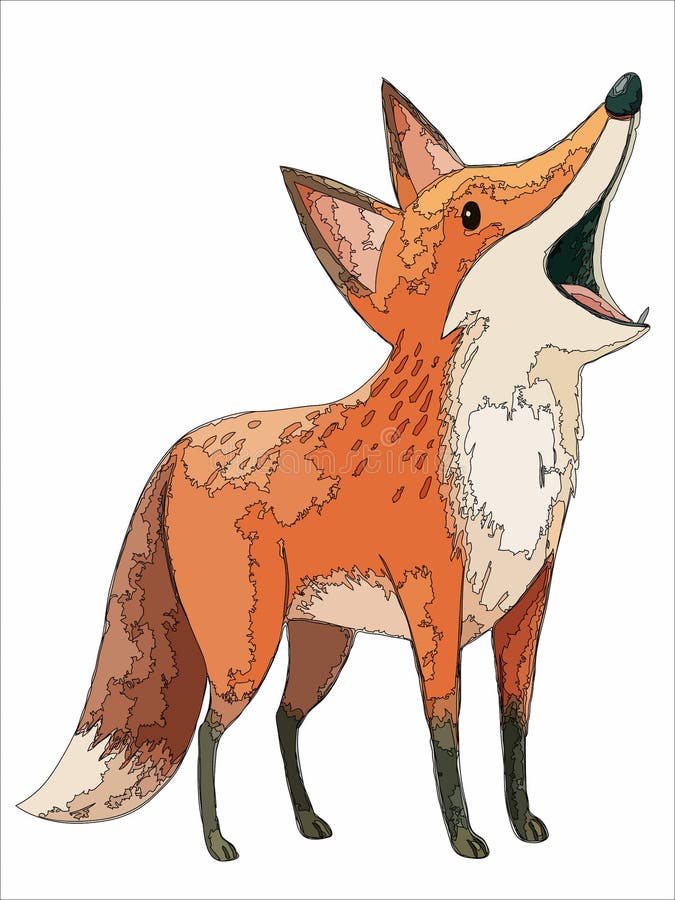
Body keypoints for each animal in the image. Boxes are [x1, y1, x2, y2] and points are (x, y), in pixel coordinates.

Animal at [19, 73, 648, 861]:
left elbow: (516, 728)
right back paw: (218, 844)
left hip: (321, 643)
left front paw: (523, 824)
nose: (624, 91)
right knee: (211, 731)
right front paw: (464, 838)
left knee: (284, 719)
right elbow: (446, 732)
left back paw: (307, 822)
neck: (509, 467)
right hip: (245, 646)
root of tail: (181, 445)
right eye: (473, 212)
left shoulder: (527, 601)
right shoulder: (433, 602)